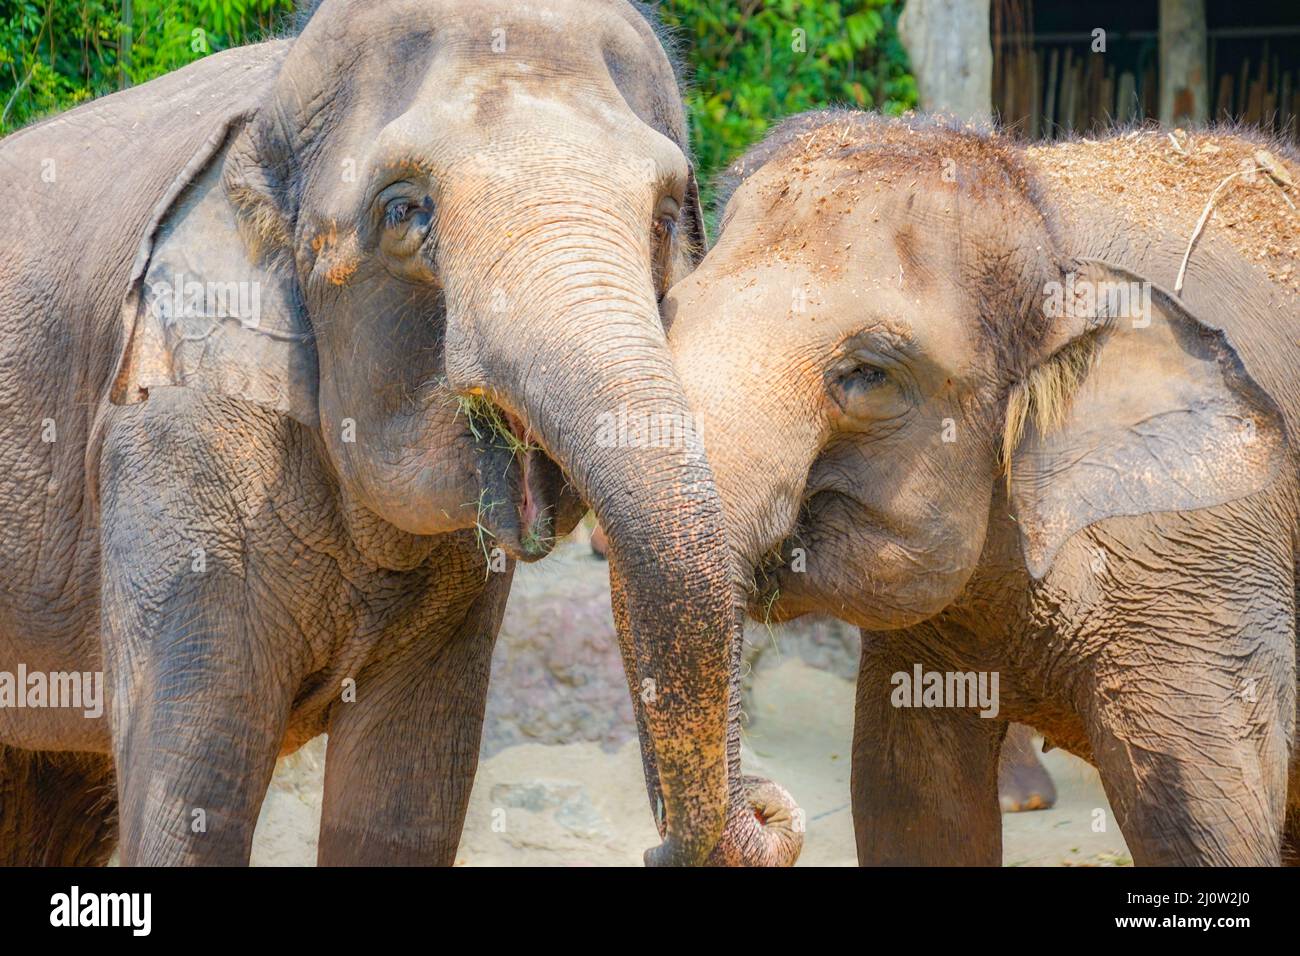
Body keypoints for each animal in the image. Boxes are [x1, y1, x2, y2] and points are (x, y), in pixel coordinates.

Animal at [0, 0, 797, 867]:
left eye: (663, 218)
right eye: (406, 213)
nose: (766, 804)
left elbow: (407, 793)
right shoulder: (173, 451)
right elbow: (195, 796)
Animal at [664, 110, 1300, 866]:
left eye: (869, 374)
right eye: (667, 312)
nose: (768, 807)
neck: (1051, 227)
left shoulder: (1201, 581)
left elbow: (1203, 830)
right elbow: (909, 805)